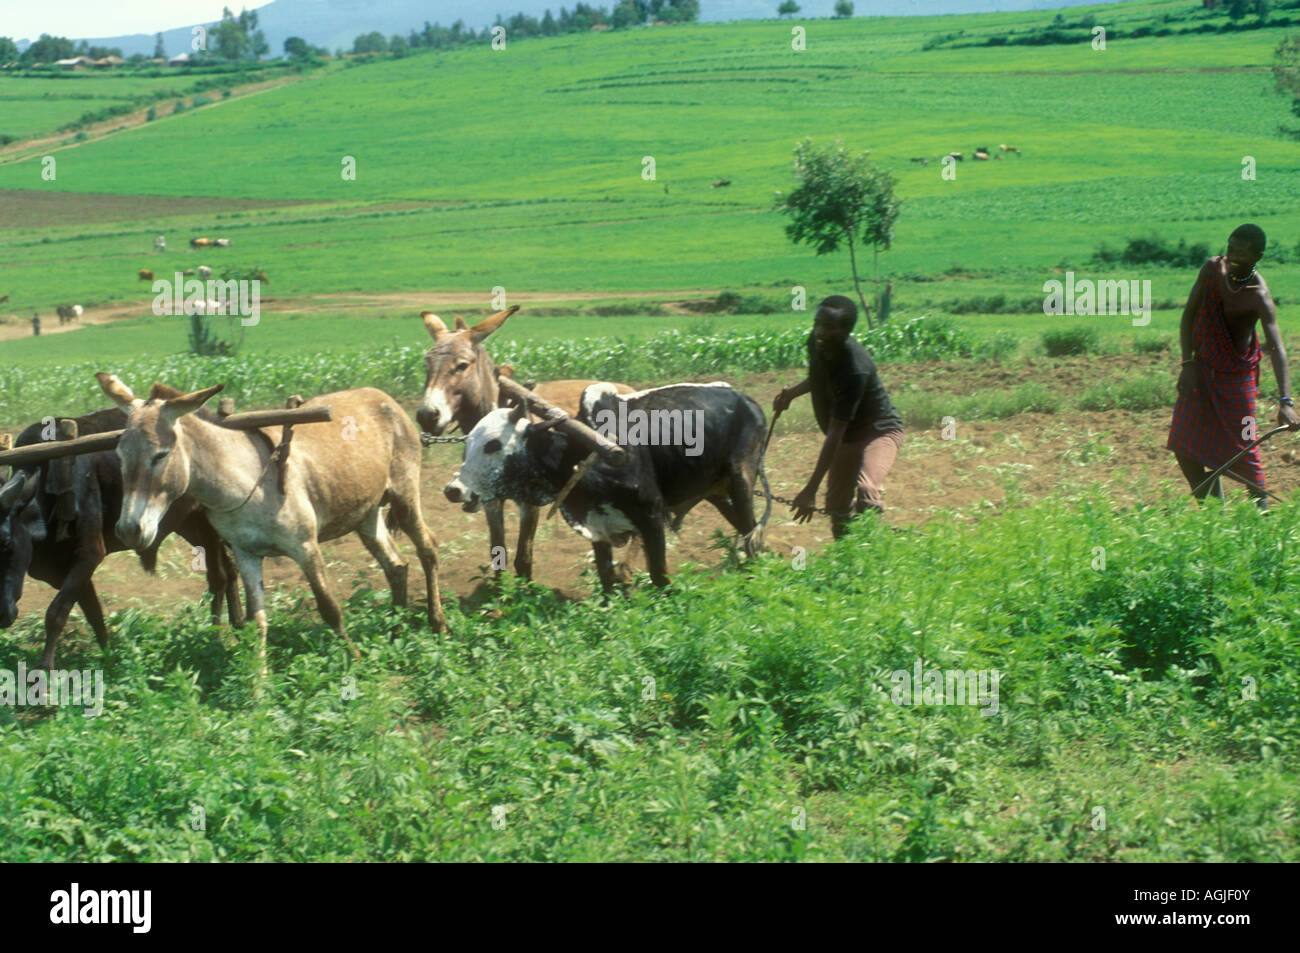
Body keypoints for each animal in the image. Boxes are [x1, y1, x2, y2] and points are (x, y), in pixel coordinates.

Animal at [0, 397, 244, 671]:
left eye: (6, 542)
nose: (2, 615)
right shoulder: (63, 570)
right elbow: (94, 614)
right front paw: (110, 660)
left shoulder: (89, 553)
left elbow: (56, 613)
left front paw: (44, 669)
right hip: (189, 523)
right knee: (230, 569)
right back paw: (238, 627)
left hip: (208, 520)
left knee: (219, 576)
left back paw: (215, 637)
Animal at [96, 373, 447, 675]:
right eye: (119, 455)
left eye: (160, 455)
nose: (129, 530)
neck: (245, 480)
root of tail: (383, 397)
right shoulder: (246, 554)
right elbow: (258, 620)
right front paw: (258, 682)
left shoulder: (305, 547)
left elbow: (329, 607)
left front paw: (355, 659)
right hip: (366, 512)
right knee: (396, 565)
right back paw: (396, 628)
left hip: (404, 494)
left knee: (428, 549)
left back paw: (438, 624)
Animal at [416, 306, 634, 580]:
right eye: (426, 364)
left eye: (462, 366)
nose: (427, 415)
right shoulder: (489, 500)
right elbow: (497, 552)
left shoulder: (530, 504)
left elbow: (523, 558)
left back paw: (626, 569)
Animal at [444, 382, 772, 593]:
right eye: (466, 445)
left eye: (493, 445)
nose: (453, 490)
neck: (582, 455)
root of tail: (747, 399)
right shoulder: (597, 528)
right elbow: (606, 579)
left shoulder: (652, 518)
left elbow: (659, 576)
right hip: (717, 492)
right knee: (748, 531)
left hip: (742, 479)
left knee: (751, 532)